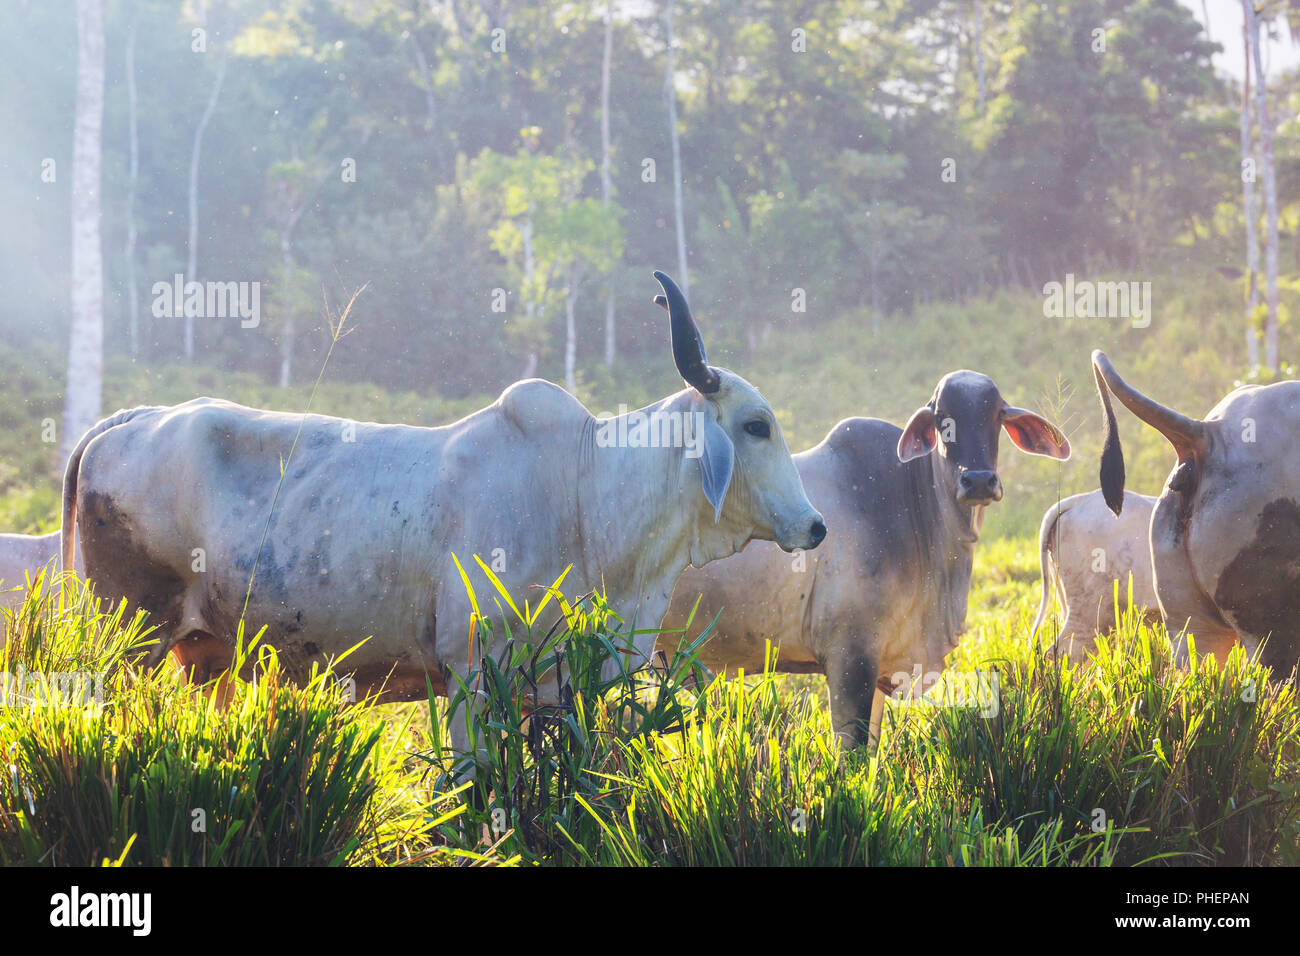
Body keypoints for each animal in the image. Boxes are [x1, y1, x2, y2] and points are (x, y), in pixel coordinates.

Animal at [61, 272, 826, 755]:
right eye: (756, 426)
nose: (816, 525)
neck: (586, 495)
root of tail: (133, 418)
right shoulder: (471, 672)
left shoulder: (550, 691)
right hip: (130, 640)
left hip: (206, 657)